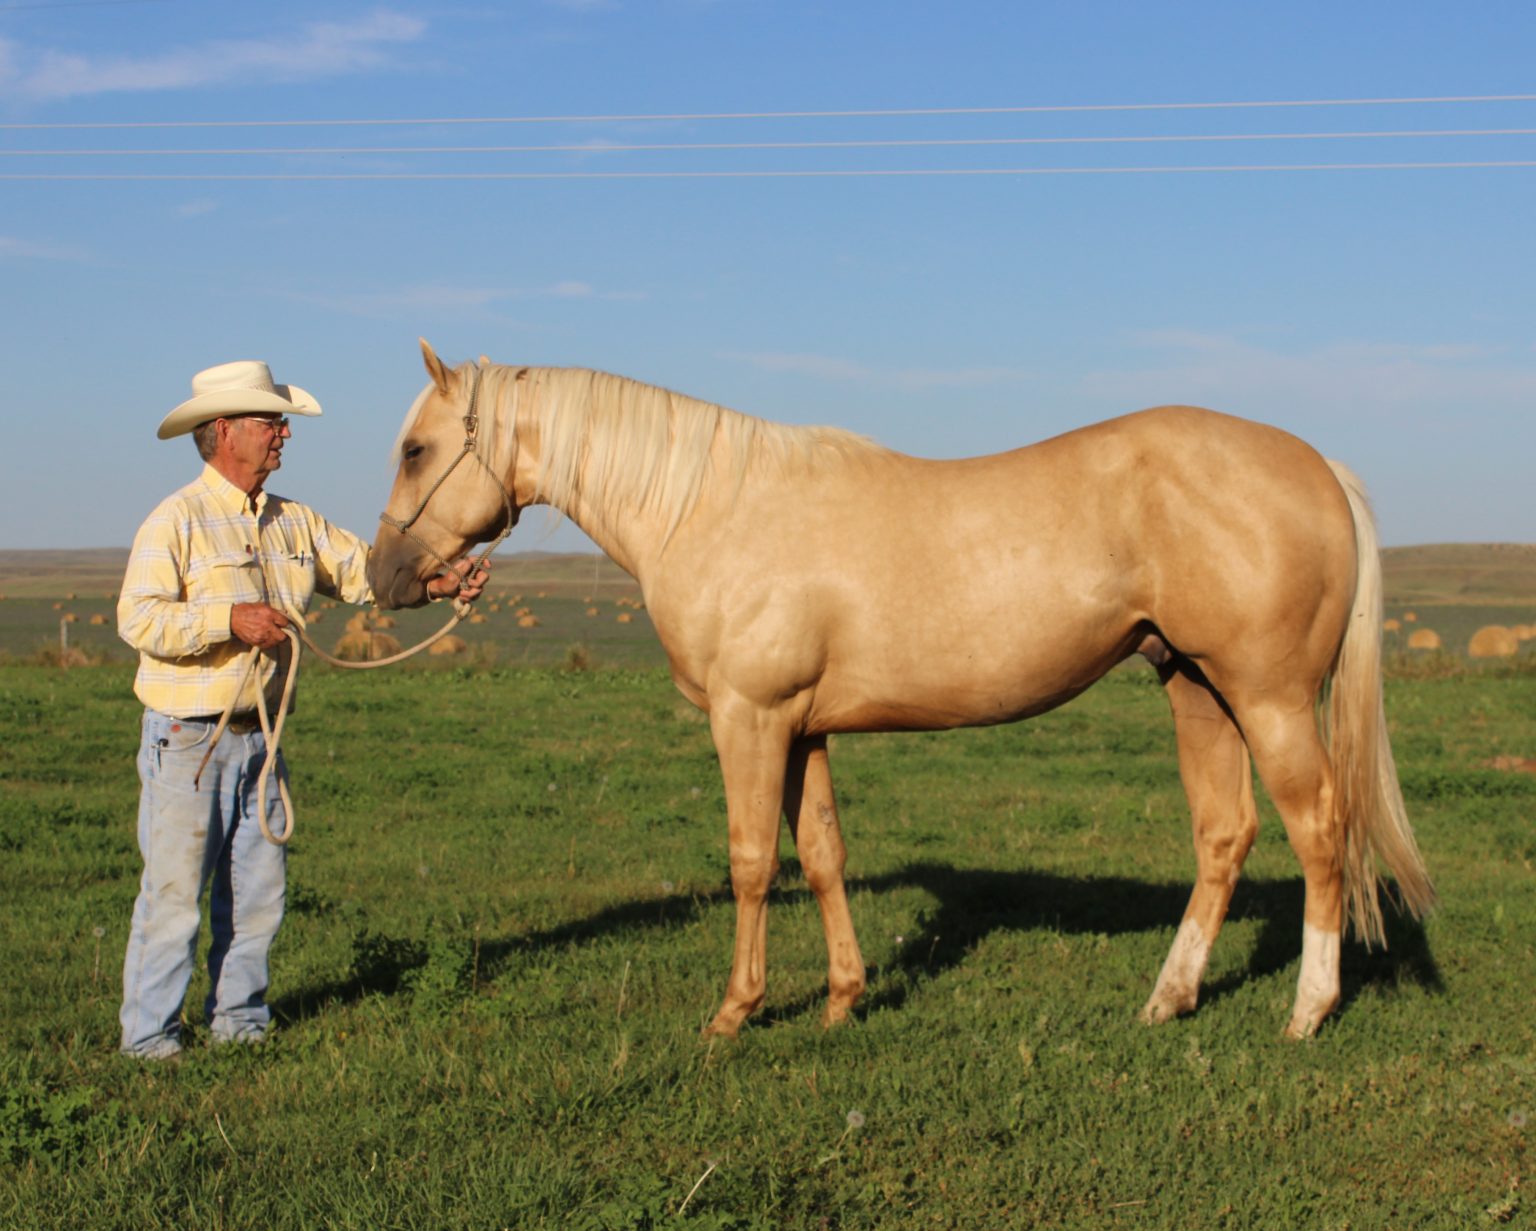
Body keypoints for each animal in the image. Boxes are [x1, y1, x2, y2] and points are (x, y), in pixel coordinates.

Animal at [368, 339, 1434, 1040]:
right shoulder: (803, 729)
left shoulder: (750, 719)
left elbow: (752, 861)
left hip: (1269, 698)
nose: (385, 577)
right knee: (1225, 835)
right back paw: (1167, 999)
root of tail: (1318, 466)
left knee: (1318, 828)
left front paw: (735, 1012)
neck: (712, 504)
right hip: (1195, 688)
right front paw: (843, 999)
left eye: (416, 450)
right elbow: (823, 855)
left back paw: (1307, 1010)